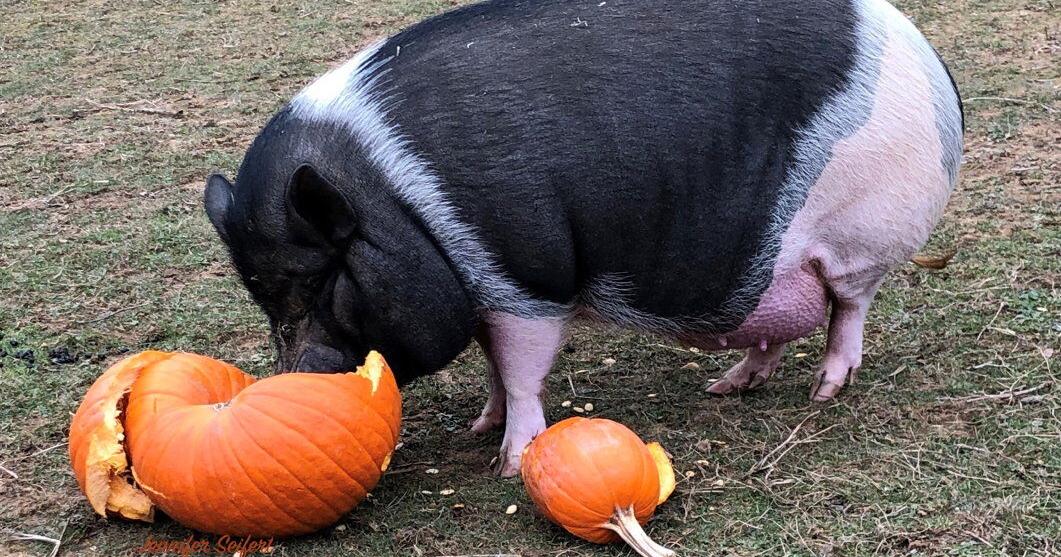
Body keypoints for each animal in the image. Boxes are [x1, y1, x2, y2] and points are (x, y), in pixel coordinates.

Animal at [204, 0, 963, 476]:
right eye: (262, 296)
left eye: (321, 278)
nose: (296, 378)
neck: (393, 201)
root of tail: (927, 56)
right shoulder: (486, 291)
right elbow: (492, 365)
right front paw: (478, 426)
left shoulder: (526, 281)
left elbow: (520, 368)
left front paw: (509, 464)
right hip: (773, 266)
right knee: (774, 326)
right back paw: (727, 387)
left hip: (863, 235)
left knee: (847, 309)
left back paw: (824, 393)